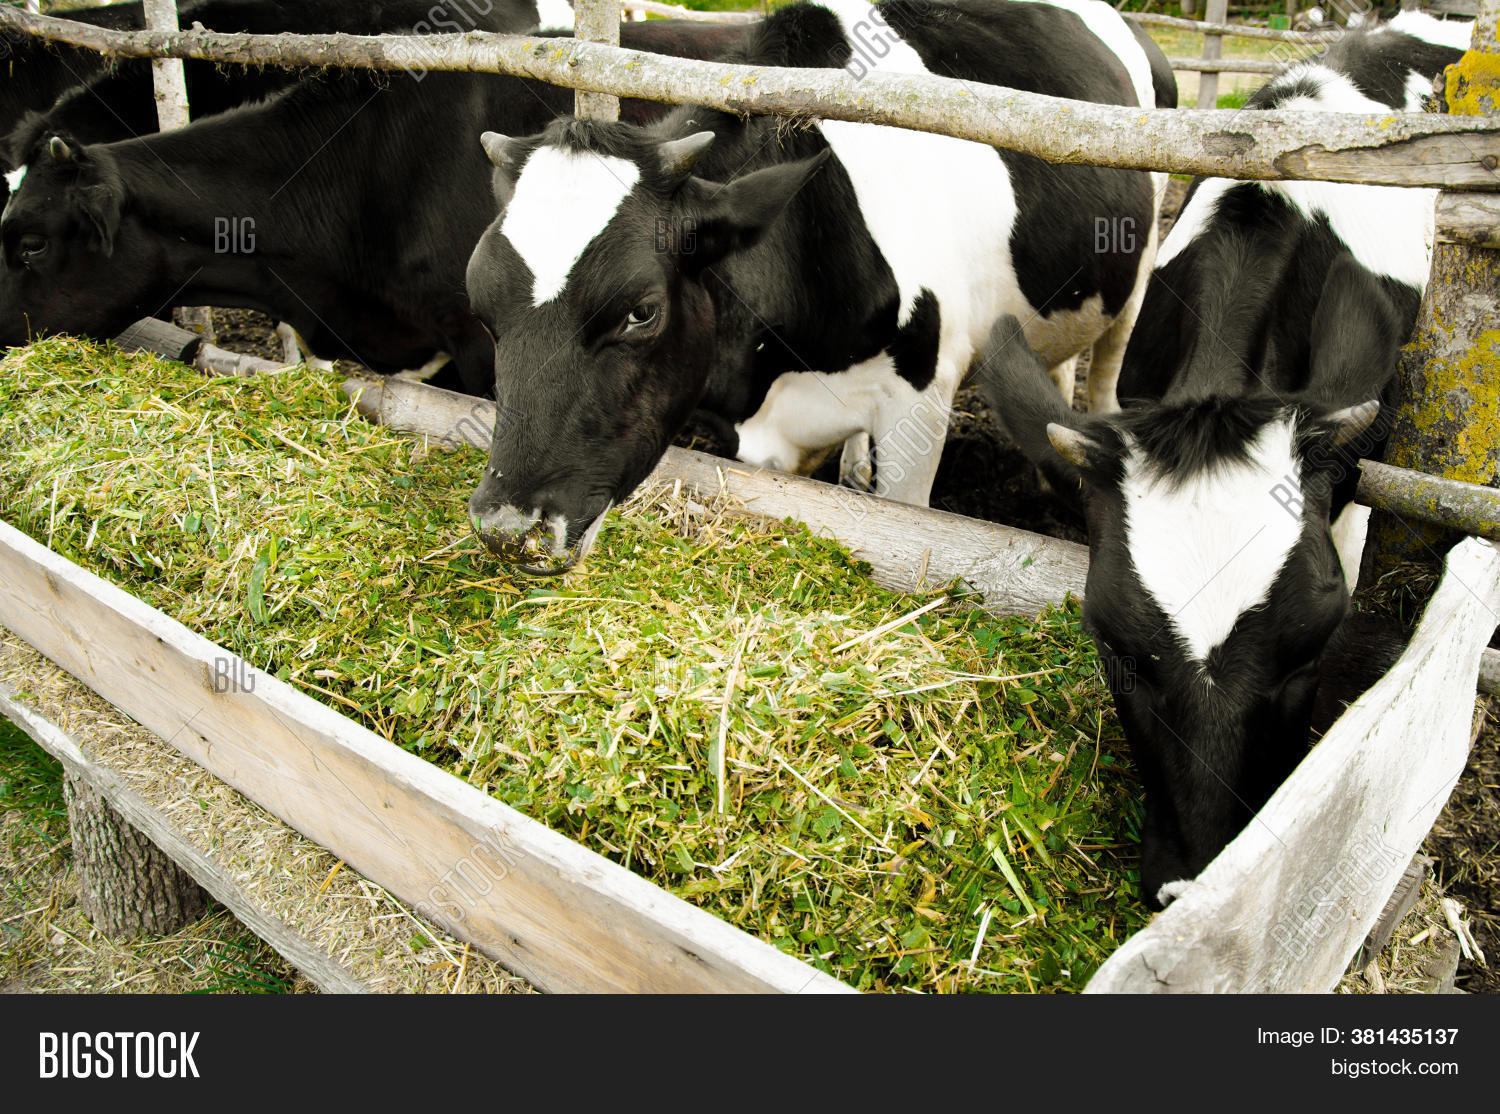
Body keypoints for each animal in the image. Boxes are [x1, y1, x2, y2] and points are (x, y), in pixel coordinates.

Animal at [462, 0, 1176, 574]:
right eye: (482, 309)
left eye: (641, 311)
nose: (508, 529)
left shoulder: (922, 401)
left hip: (1138, 270)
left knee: (1106, 368)